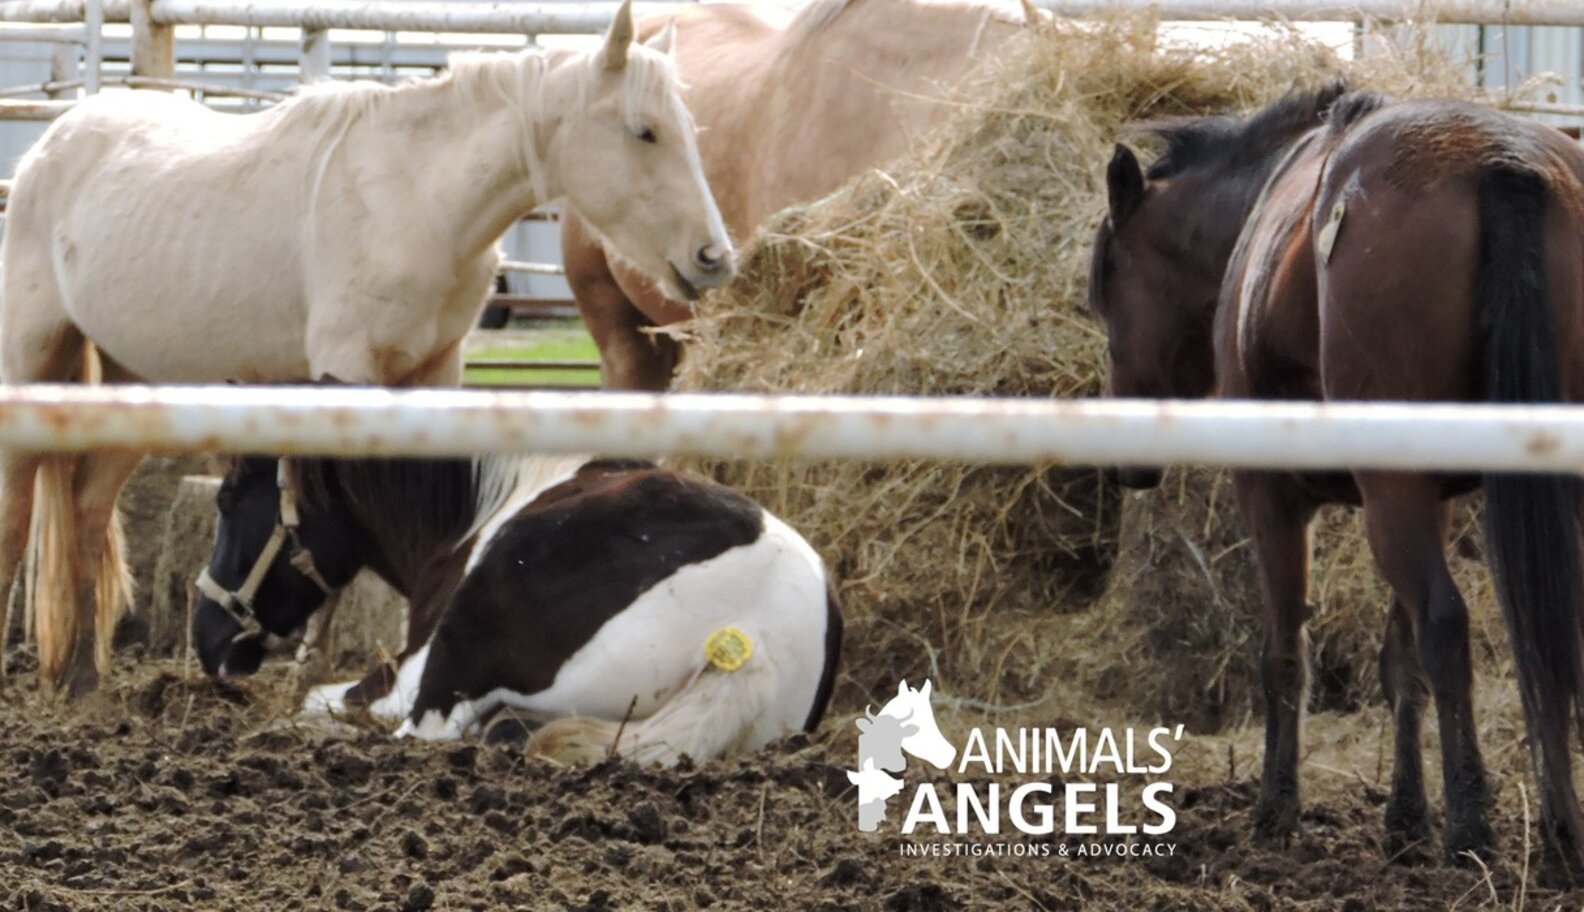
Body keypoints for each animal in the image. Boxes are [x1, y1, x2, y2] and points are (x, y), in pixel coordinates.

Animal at [0, 0, 734, 698]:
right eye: (644, 130)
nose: (714, 257)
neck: (416, 199)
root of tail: (51, 146)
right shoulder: (345, 368)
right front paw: (309, 665)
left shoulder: (438, 373)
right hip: (33, 360)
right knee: (18, 514)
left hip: (137, 381)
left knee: (87, 509)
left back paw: (83, 682)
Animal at [192, 453, 843, 764]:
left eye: (227, 500)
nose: (204, 638)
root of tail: (748, 635)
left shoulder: (403, 677)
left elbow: (318, 699)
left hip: (445, 675)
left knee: (426, 732)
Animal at [1089, 84, 1584, 876]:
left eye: (1106, 286)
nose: (1124, 461)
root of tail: (1502, 160)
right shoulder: (1429, 503)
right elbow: (1400, 665)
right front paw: (1405, 817)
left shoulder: (1274, 498)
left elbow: (1284, 654)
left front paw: (1276, 808)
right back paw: (1561, 825)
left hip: (1390, 497)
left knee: (1446, 625)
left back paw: (1472, 824)